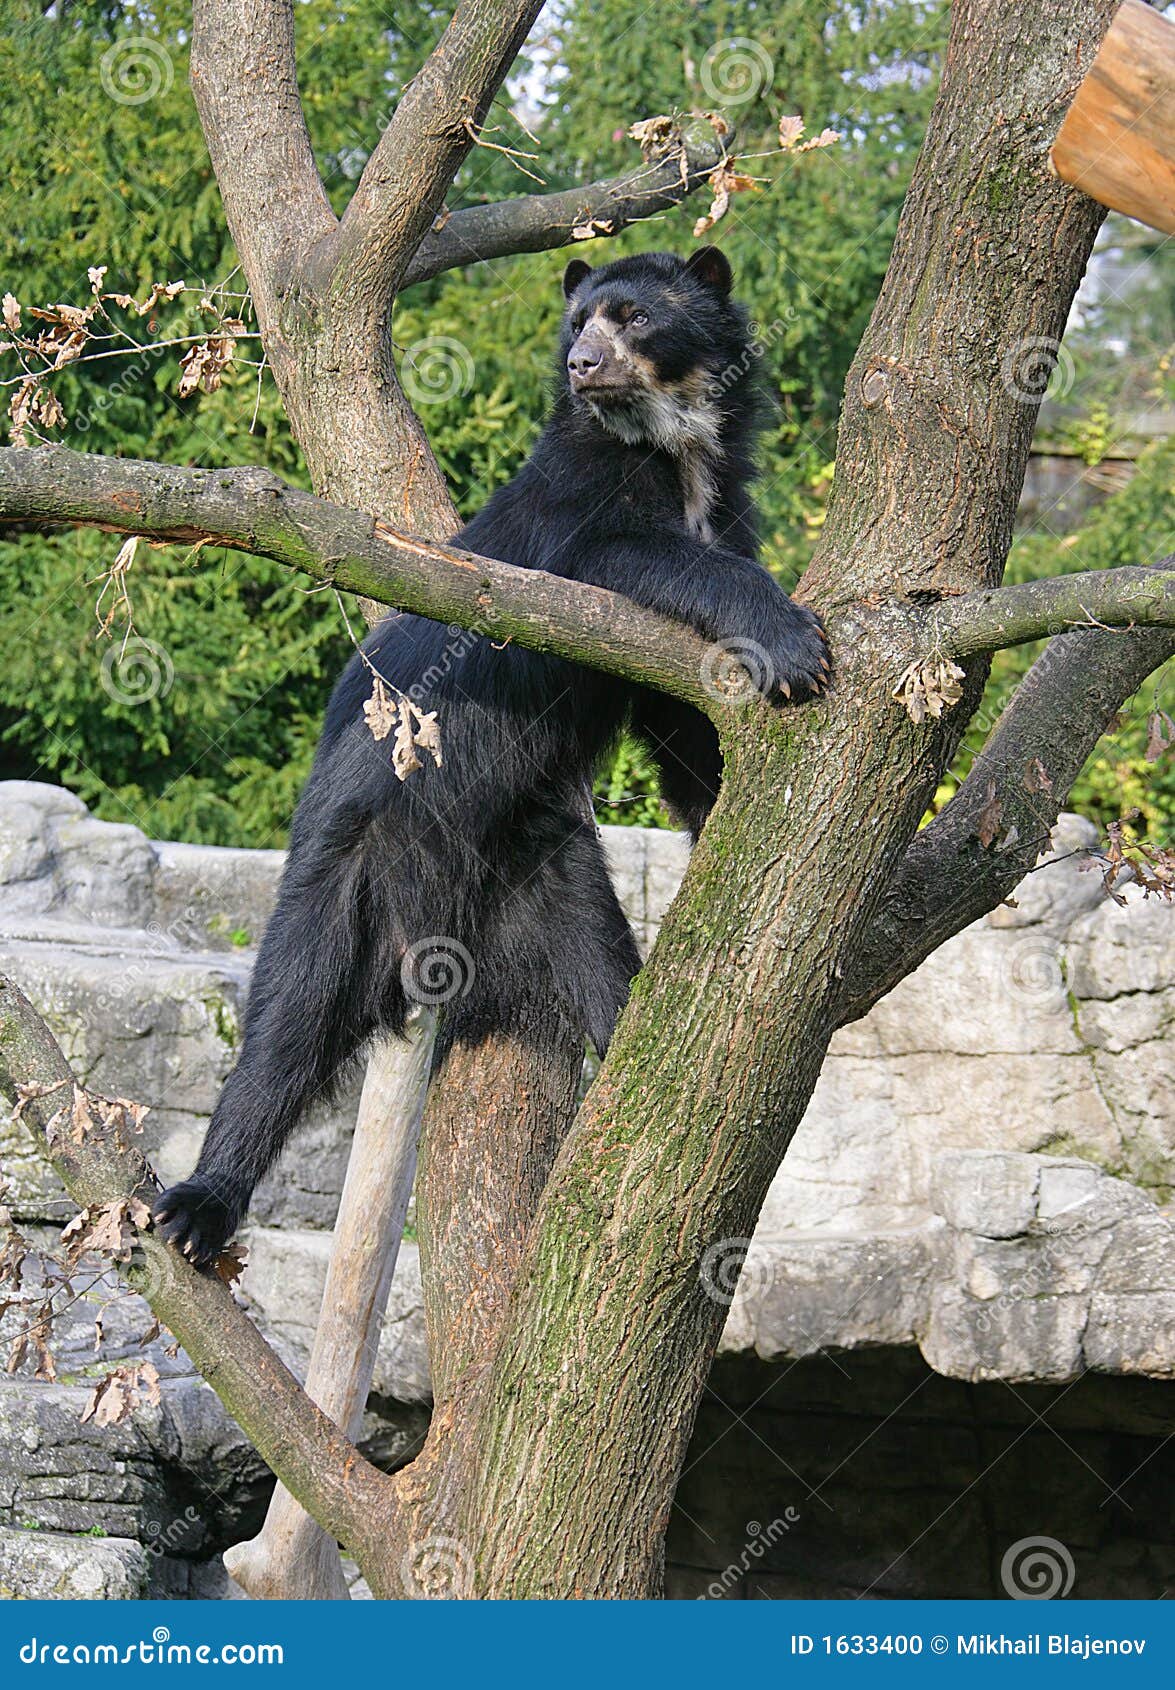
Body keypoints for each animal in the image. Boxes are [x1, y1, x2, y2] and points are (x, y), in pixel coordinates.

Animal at [154, 246, 829, 1265]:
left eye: (632, 317)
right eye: (578, 325)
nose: (583, 366)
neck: (671, 447)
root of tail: (434, 929)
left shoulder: (722, 507)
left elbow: (681, 721)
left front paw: (721, 804)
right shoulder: (578, 523)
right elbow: (638, 561)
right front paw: (798, 647)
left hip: (551, 869)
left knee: (608, 977)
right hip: (342, 873)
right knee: (286, 1019)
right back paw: (198, 1205)